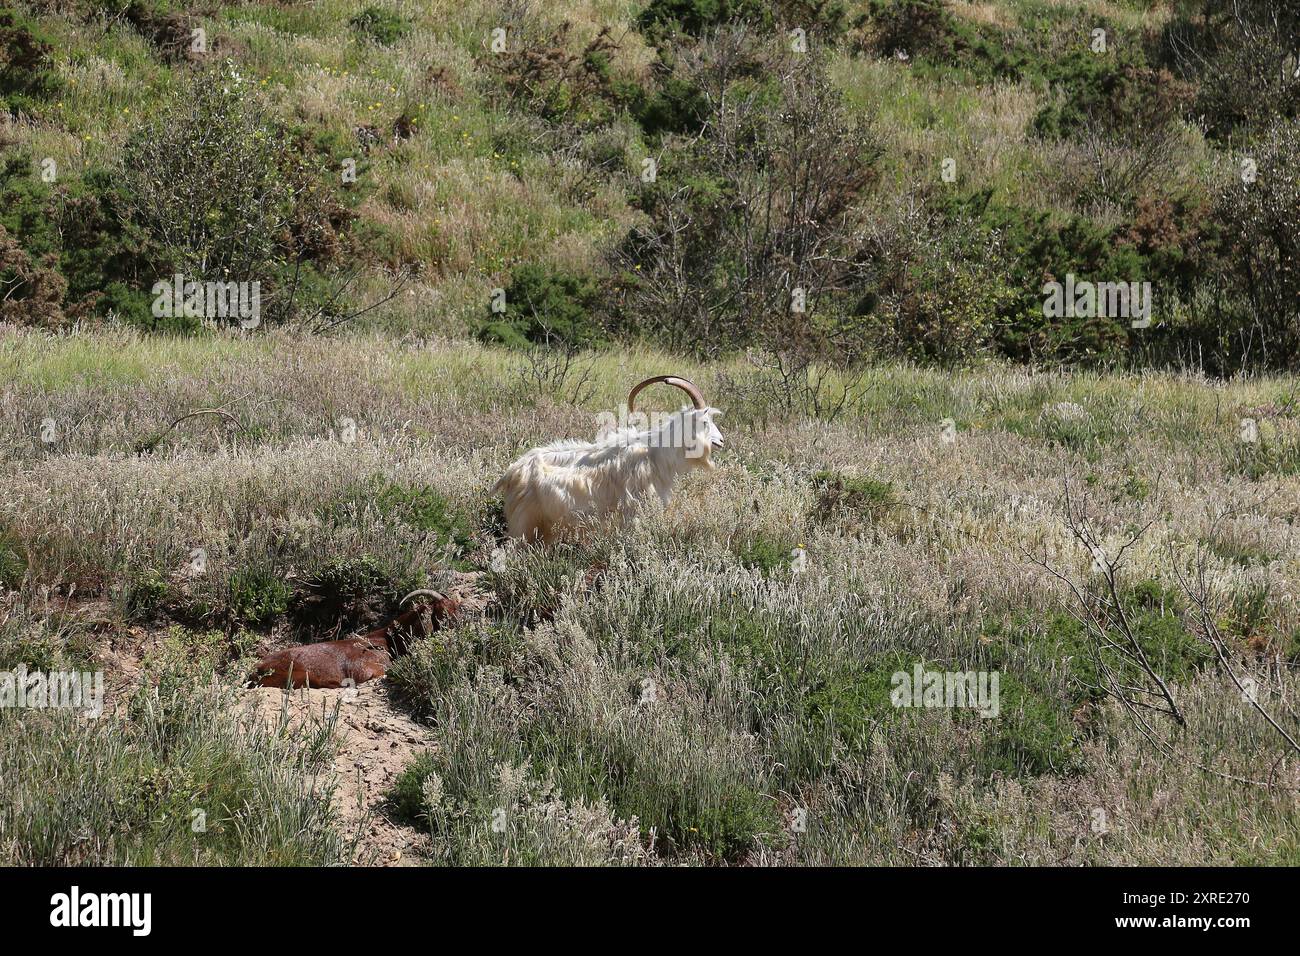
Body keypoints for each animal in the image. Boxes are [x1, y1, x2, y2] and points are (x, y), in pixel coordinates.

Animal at [494, 375, 724, 543]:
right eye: (705, 422)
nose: (721, 441)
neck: (655, 454)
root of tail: (511, 473)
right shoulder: (633, 512)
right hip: (524, 523)